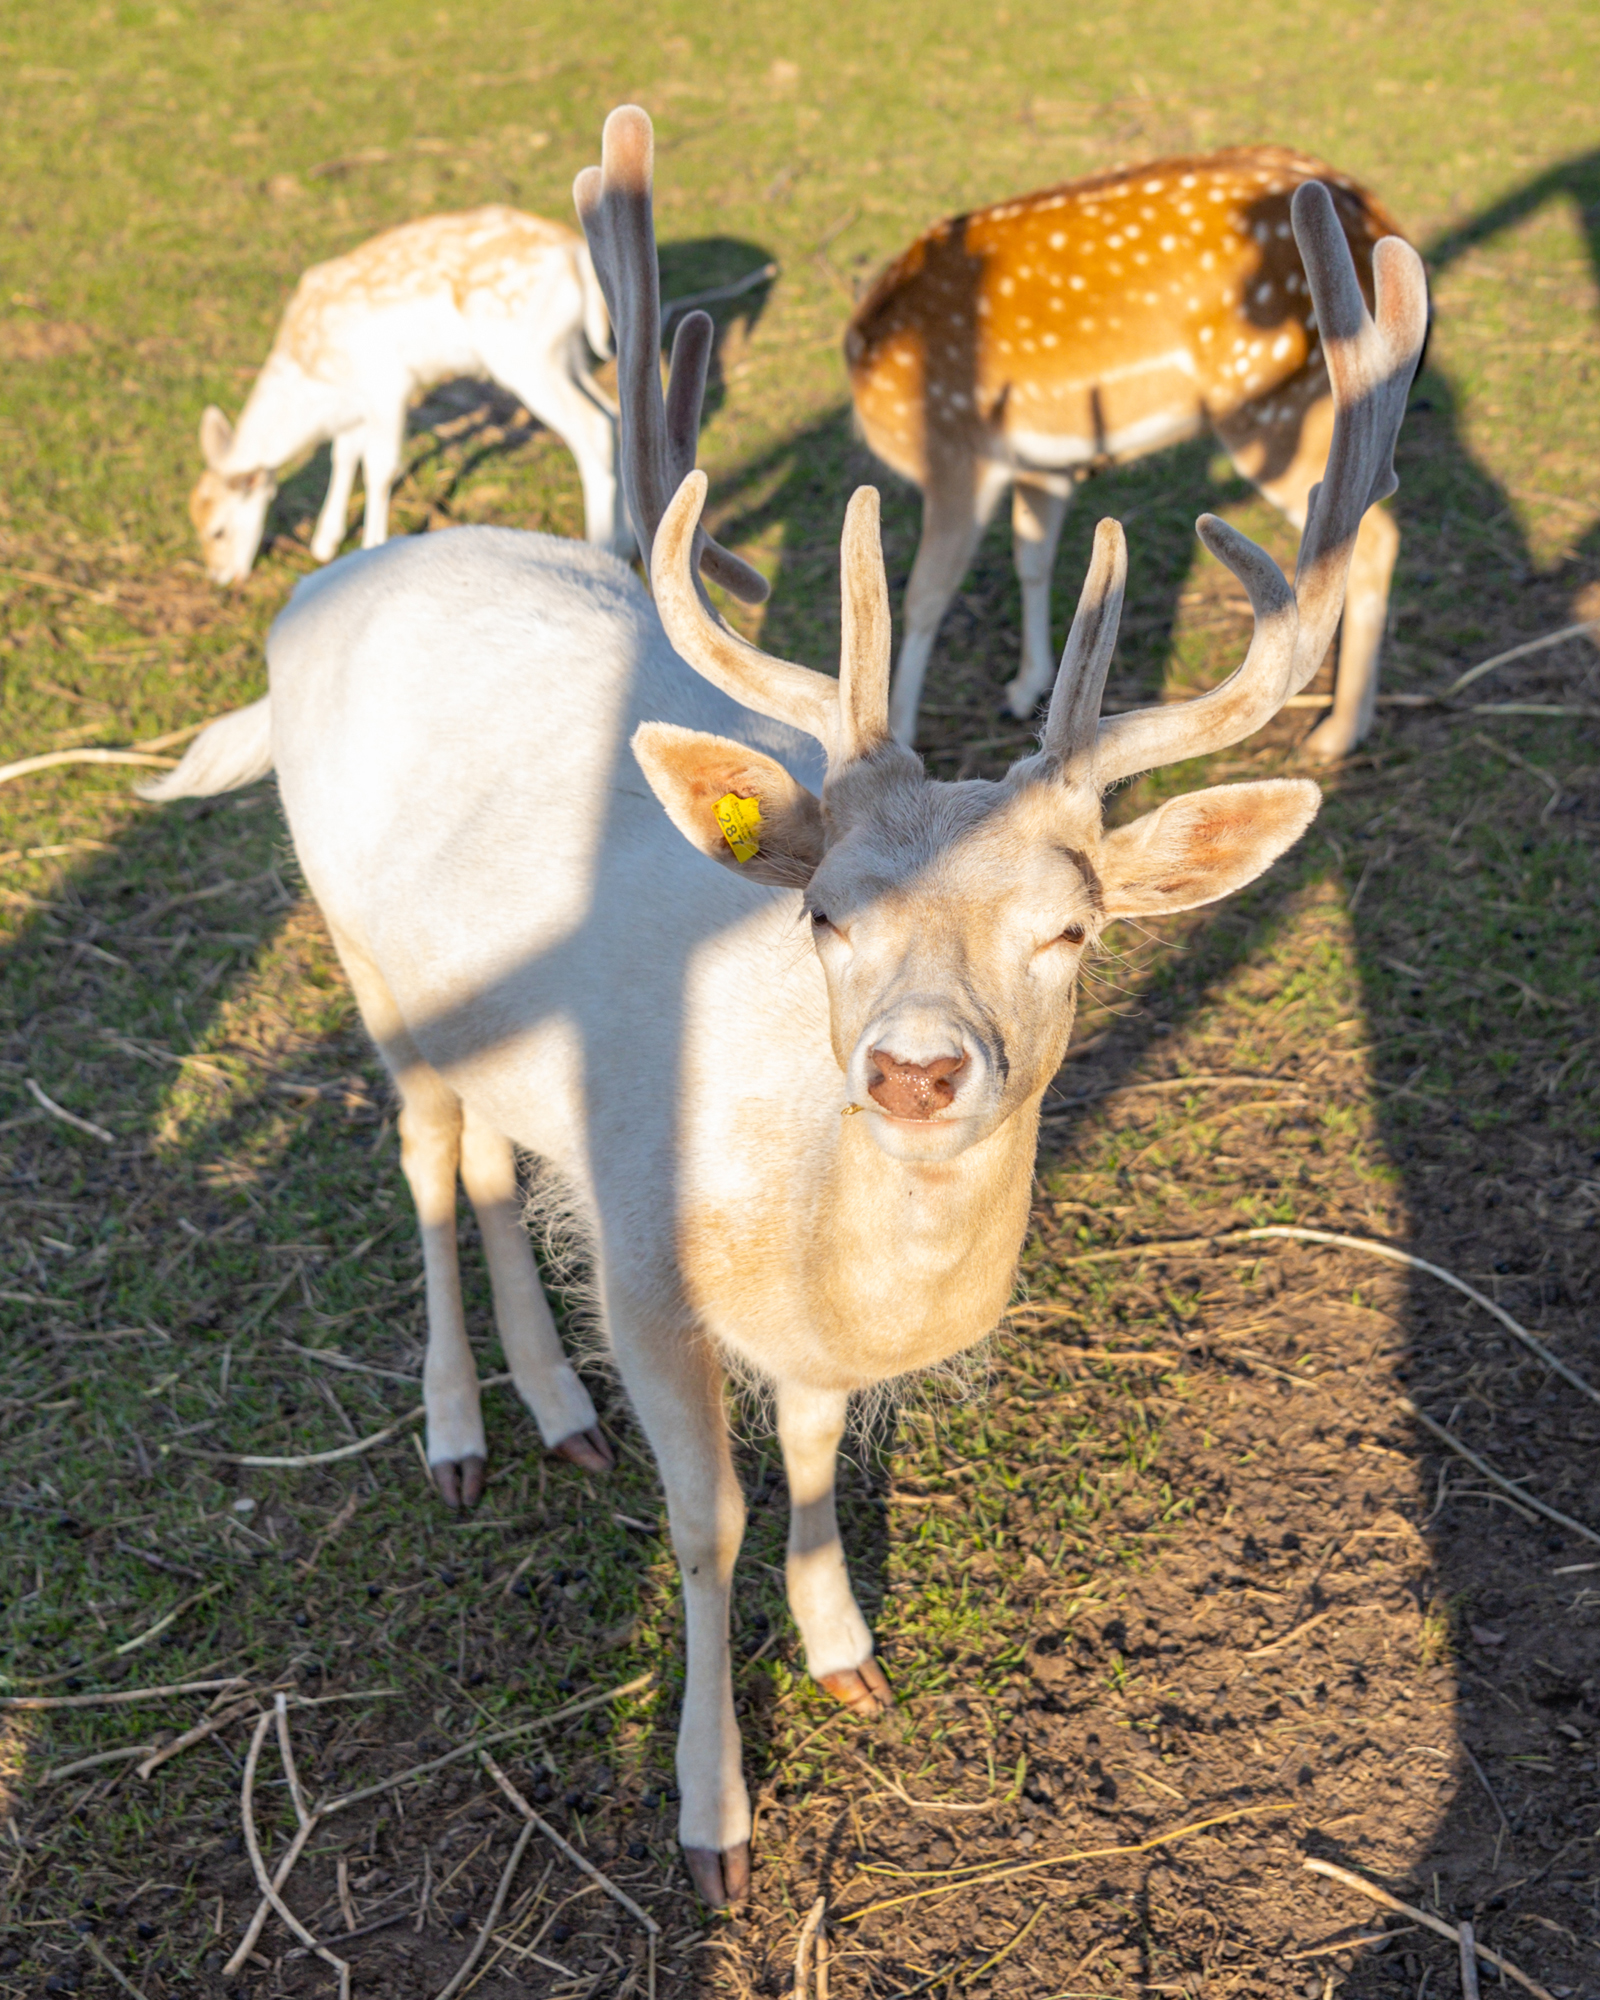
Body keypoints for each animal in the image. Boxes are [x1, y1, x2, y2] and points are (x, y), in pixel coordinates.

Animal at [191, 209, 628, 584]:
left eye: (217, 531)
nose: (219, 578)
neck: (318, 386)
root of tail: (577, 254)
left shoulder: (387, 385)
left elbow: (379, 465)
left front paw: (371, 546)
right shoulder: (356, 405)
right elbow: (343, 454)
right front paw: (324, 544)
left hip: (524, 356)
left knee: (592, 426)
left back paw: (603, 545)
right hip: (568, 353)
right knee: (612, 414)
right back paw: (626, 541)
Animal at [844, 146, 1416, 756]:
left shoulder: (956, 454)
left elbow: (925, 593)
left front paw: (899, 730)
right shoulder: (1044, 465)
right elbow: (1033, 558)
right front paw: (1025, 687)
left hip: (1273, 407)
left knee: (1374, 537)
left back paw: (1337, 731)